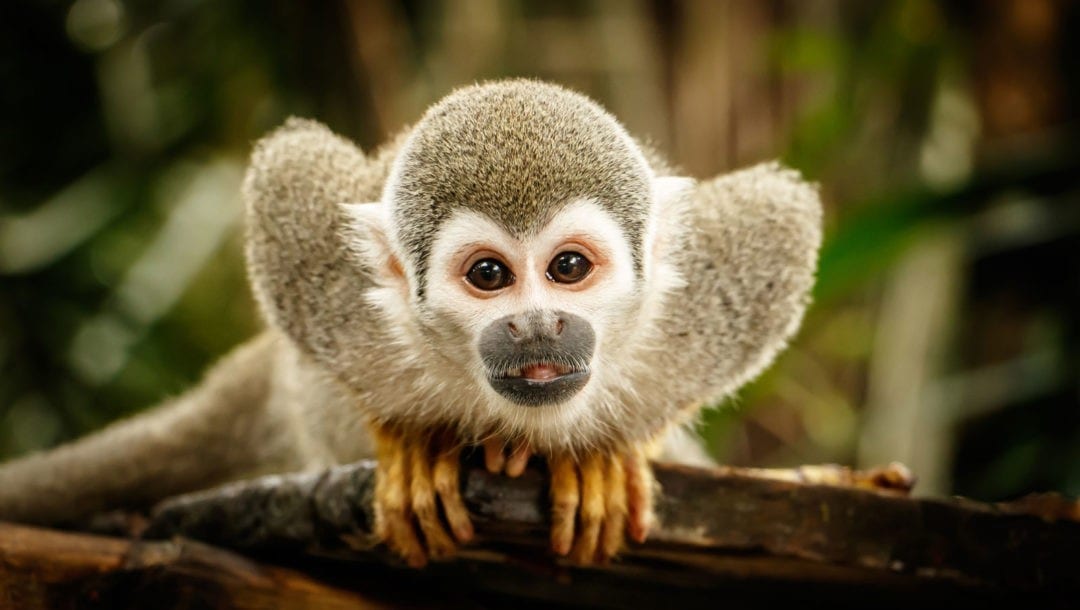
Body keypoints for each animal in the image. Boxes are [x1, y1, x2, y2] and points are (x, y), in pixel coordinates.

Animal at [0, 80, 822, 567]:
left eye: (567, 269)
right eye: (489, 276)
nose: (537, 327)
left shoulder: (708, 298)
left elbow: (782, 217)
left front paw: (608, 454)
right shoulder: (331, 293)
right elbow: (289, 170)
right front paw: (409, 441)